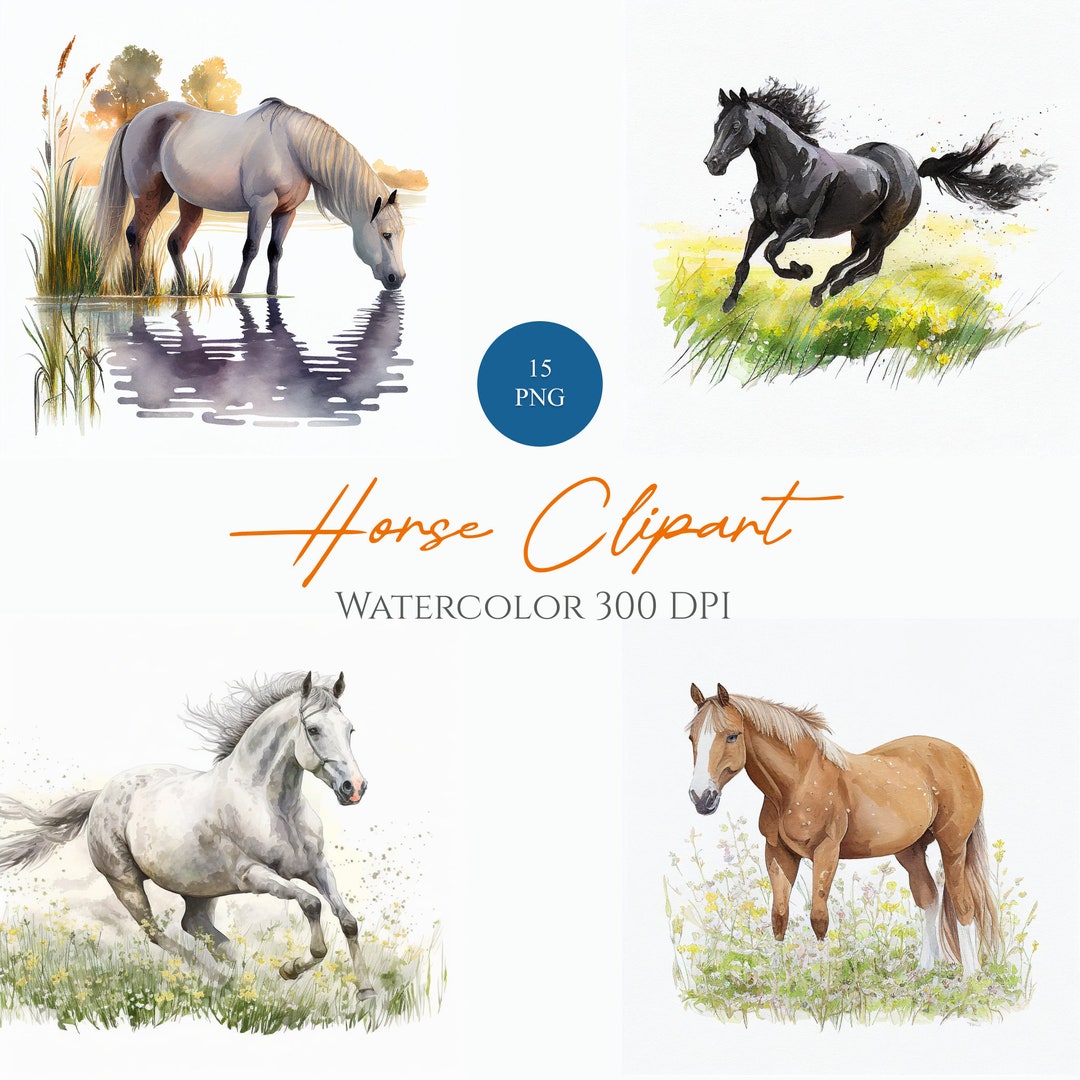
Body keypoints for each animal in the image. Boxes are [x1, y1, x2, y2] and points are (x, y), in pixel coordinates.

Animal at [0, 671, 376, 999]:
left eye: (351, 729)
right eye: (313, 729)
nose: (354, 788)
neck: (274, 806)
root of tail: (101, 795)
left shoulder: (317, 867)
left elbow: (347, 921)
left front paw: (366, 993)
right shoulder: (254, 875)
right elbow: (311, 904)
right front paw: (290, 968)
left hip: (199, 888)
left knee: (194, 925)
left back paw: (236, 970)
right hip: (125, 881)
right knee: (157, 933)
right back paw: (221, 979)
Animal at [93, 98, 406, 296]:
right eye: (386, 235)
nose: (397, 279)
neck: (291, 147)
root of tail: (135, 120)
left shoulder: (286, 211)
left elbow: (275, 251)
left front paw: (272, 292)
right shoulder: (261, 205)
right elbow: (251, 248)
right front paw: (236, 290)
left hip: (187, 201)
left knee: (175, 242)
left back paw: (182, 290)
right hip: (150, 193)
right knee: (136, 234)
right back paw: (139, 286)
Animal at [685, 682, 1001, 977]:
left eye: (732, 735)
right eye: (692, 737)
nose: (702, 798)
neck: (799, 782)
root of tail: (962, 758)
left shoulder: (826, 851)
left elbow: (819, 916)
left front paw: (823, 976)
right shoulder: (777, 852)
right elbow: (779, 914)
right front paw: (778, 978)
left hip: (953, 845)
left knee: (963, 902)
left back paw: (971, 976)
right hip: (910, 850)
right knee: (929, 898)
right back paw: (924, 969)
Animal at [704, 80, 1053, 311]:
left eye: (737, 127)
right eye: (717, 124)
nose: (712, 163)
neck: (790, 170)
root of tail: (914, 169)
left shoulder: (801, 225)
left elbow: (772, 253)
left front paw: (801, 270)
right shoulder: (761, 223)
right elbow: (746, 262)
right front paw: (729, 303)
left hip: (887, 229)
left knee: (871, 265)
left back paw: (830, 287)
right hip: (862, 228)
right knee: (858, 259)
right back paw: (822, 289)